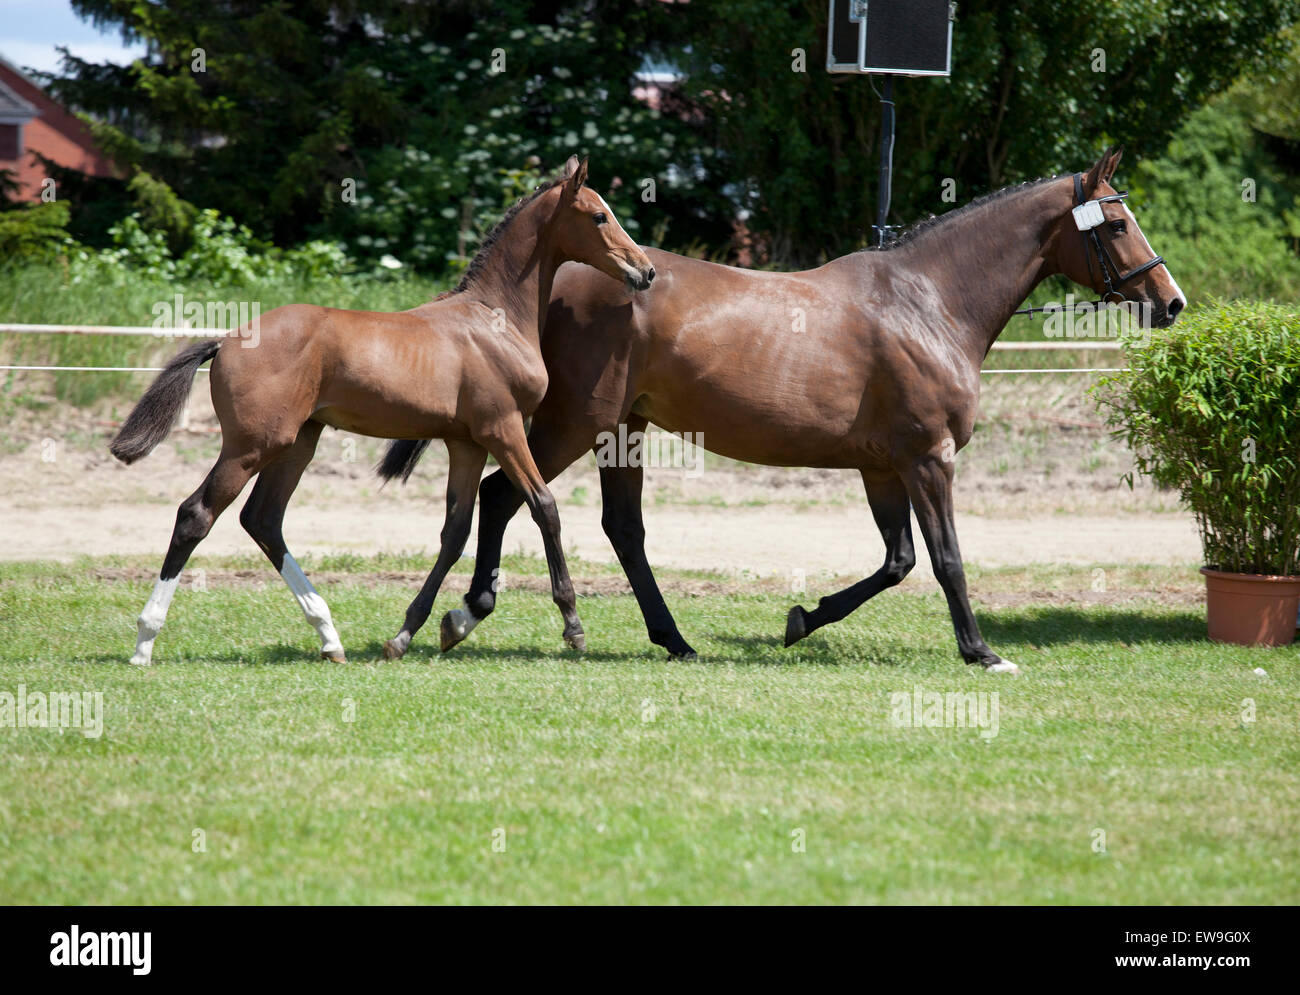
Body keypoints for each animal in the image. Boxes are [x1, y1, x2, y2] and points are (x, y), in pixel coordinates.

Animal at [110, 156, 655, 666]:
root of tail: (225, 340)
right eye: (599, 216)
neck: (494, 318)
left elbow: (455, 532)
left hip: (298, 443)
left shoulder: (465, 442)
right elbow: (545, 507)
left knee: (263, 520)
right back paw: (145, 641)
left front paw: (409, 633)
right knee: (196, 515)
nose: (645, 270)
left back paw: (330, 637)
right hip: (252, 445)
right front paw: (573, 625)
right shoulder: (502, 430)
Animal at [379, 148, 1184, 675]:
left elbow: (897, 561)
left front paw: (802, 620)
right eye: (1116, 225)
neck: (927, 302)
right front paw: (982, 651)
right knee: (505, 496)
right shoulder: (929, 458)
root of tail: (565, 277)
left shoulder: (882, 467)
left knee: (616, 527)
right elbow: (947, 558)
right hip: (576, 425)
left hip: (622, 430)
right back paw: (466, 614)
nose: (1171, 302)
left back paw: (669, 639)